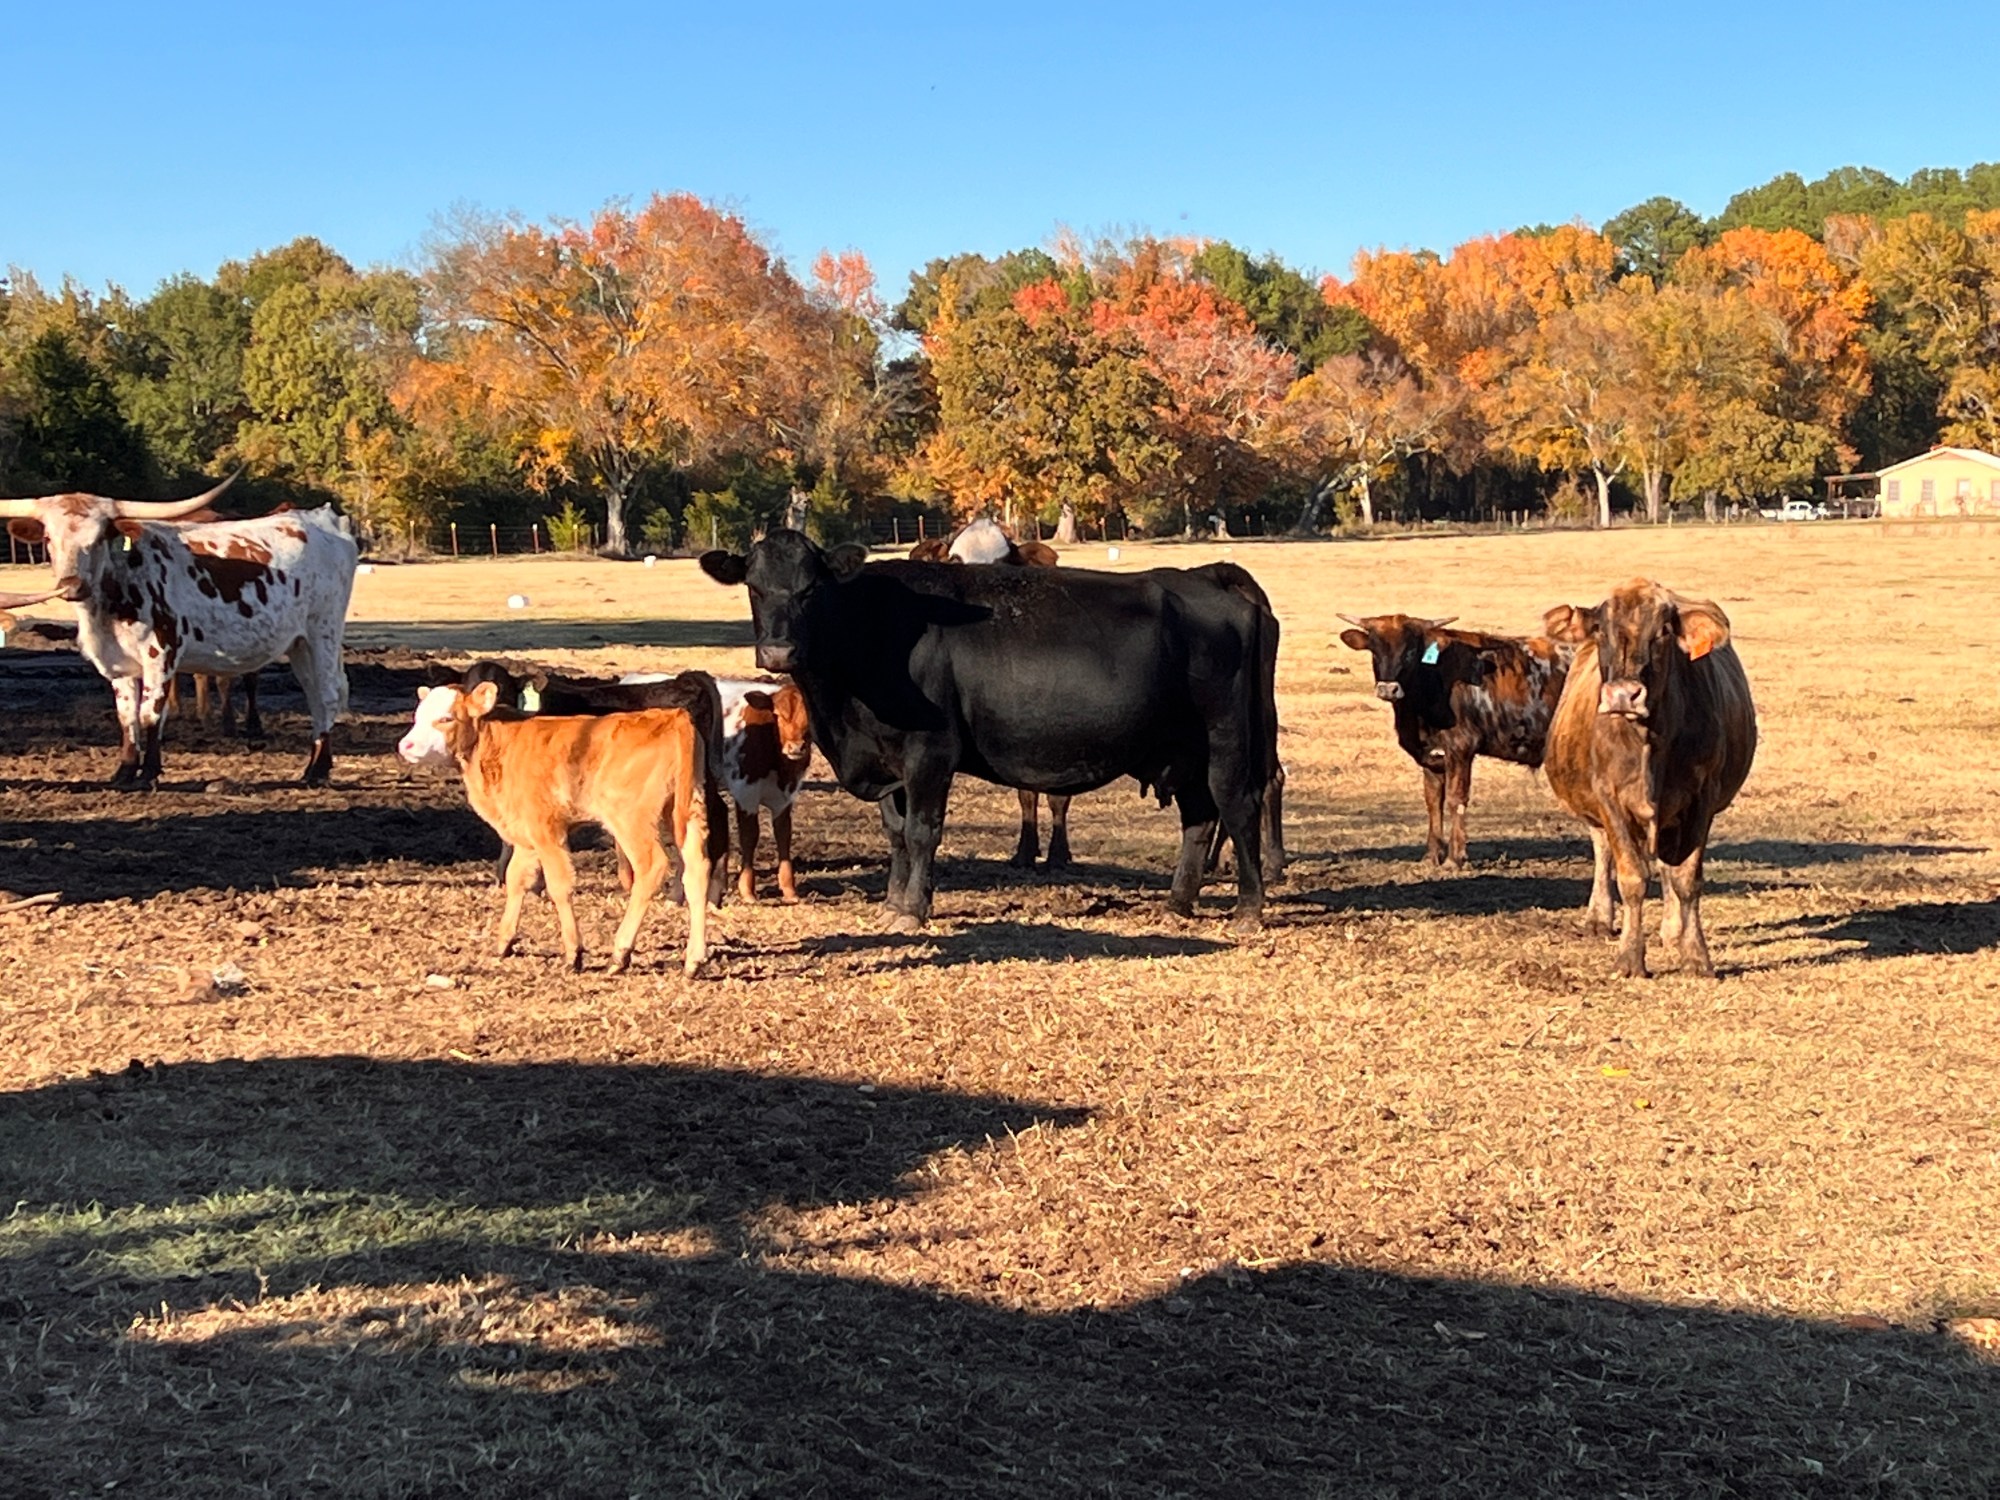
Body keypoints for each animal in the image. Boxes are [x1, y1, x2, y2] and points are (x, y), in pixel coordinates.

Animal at [0, 477, 356, 787]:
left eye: (99, 538)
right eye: (49, 539)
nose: (73, 586)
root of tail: (321, 519)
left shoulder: (161, 654)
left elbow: (150, 714)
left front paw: (148, 773)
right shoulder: (119, 666)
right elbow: (127, 717)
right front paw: (125, 771)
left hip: (323, 633)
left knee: (327, 695)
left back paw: (319, 771)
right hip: (299, 643)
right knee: (313, 696)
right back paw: (312, 767)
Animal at [399, 683, 713, 976]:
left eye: (446, 718)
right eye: (417, 715)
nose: (406, 746)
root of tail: (672, 716)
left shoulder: (546, 829)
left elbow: (559, 885)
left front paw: (573, 953)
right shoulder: (526, 836)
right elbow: (515, 879)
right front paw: (504, 941)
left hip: (630, 818)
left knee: (652, 867)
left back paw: (620, 953)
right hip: (688, 809)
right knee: (697, 870)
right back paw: (693, 960)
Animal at [700, 529, 1272, 932]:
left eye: (812, 588)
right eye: (754, 587)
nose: (779, 652)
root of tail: (1205, 577)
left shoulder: (930, 755)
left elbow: (922, 831)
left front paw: (913, 909)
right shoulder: (888, 761)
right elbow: (895, 833)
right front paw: (892, 902)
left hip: (1226, 741)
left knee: (1239, 806)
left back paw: (1248, 908)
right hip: (1184, 751)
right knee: (1199, 818)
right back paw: (1178, 903)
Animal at [1338, 612, 1577, 867]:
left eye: (1410, 651)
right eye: (1374, 650)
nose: (1388, 689)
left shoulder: (1461, 748)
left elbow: (1456, 798)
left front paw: (1456, 857)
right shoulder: (1433, 757)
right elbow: (1433, 802)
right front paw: (1432, 855)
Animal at [1541, 581, 1758, 978]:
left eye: (1664, 631)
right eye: (1600, 629)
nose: (1623, 695)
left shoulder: (1700, 801)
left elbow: (1685, 878)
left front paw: (1695, 955)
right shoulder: (1609, 799)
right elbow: (1631, 877)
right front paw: (1629, 959)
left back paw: (1673, 931)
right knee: (1604, 853)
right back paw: (1599, 917)